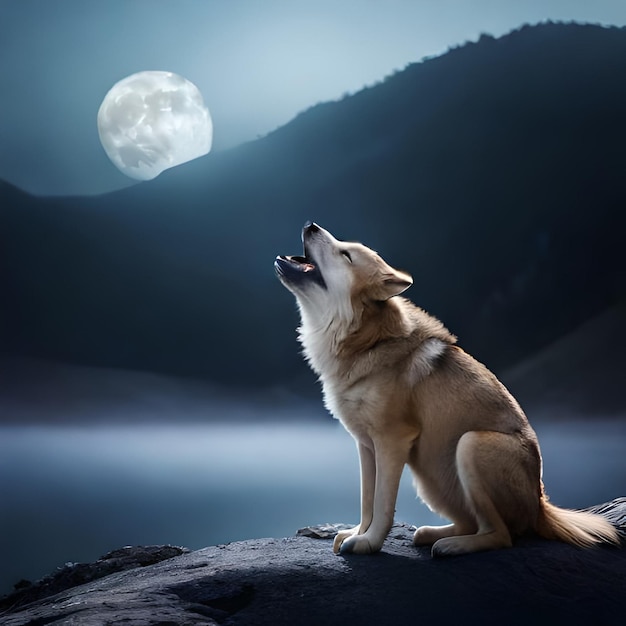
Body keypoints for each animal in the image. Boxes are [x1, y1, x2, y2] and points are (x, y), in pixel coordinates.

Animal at [276, 222, 616, 552]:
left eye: (345, 255)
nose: (311, 224)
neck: (366, 341)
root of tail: (539, 506)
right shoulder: (366, 446)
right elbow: (366, 502)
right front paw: (356, 534)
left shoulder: (391, 441)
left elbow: (382, 505)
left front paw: (368, 543)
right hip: (430, 477)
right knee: (472, 522)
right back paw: (432, 534)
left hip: (469, 445)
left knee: (501, 535)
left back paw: (451, 546)